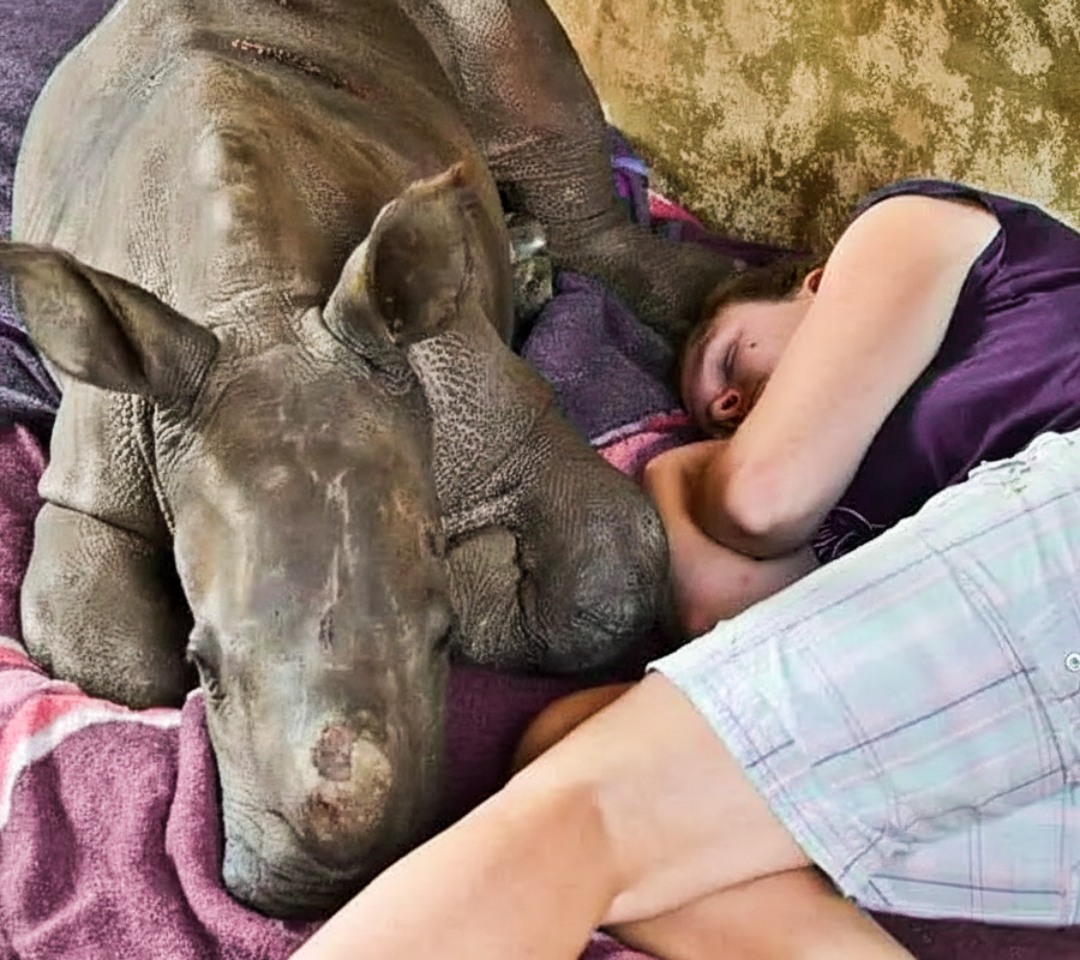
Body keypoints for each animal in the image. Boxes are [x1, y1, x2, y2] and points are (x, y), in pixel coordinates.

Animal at [0, 0, 735, 918]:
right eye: (205, 666)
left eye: (440, 637)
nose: (331, 888)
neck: (255, 304)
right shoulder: (101, 468)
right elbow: (100, 652)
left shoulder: (470, 393)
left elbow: (608, 579)